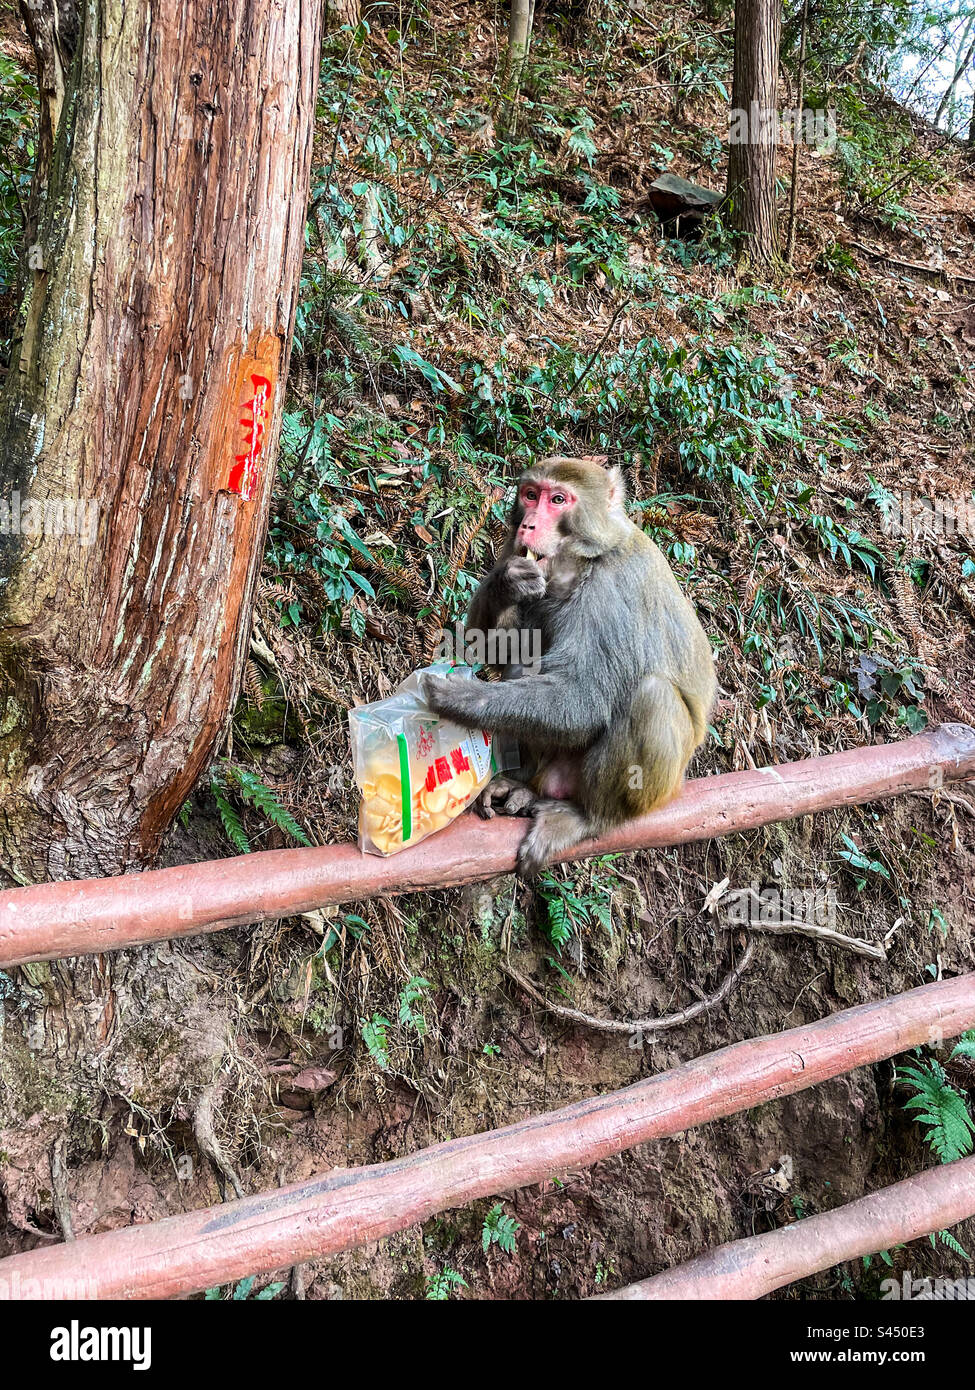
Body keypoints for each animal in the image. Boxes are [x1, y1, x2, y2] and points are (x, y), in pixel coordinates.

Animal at [421, 456, 716, 875]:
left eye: (558, 500)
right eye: (531, 495)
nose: (528, 525)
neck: (581, 561)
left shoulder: (611, 589)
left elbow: (585, 698)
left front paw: (460, 698)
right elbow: (501, 649)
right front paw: (505, 582)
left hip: (654, 788)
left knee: (651, 695)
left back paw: (588, 817)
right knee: (526, 665)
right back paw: (522, 784)